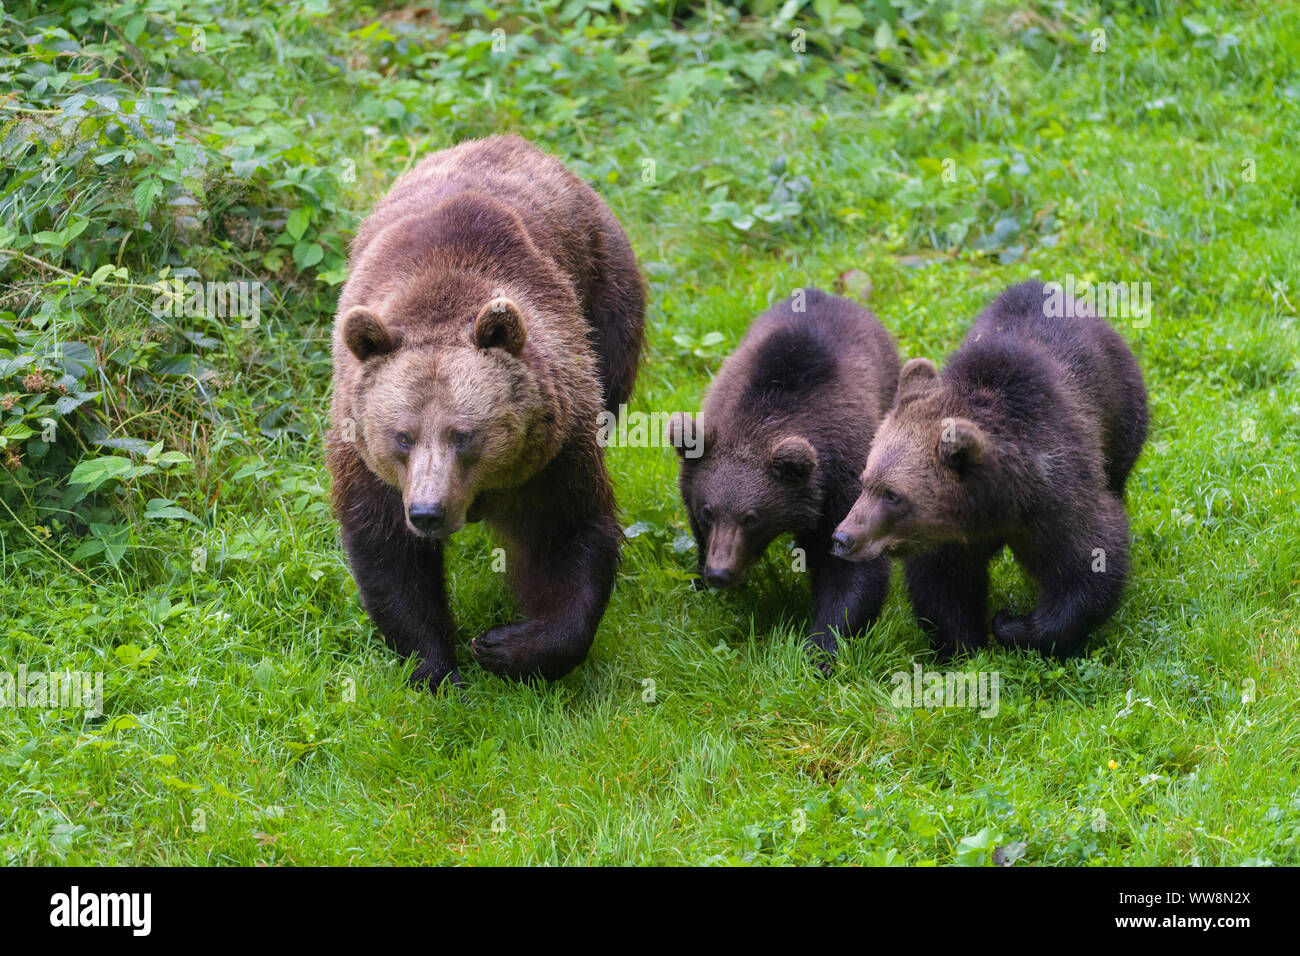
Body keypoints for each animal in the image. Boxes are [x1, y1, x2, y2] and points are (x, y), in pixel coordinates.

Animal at [328, 135, 645, 688]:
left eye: (464, 435)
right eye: (402, 436)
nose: (428, 512)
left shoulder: (552, 450)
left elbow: (566, 535)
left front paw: (503, 645)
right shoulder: (366, 455)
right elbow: (388, 552)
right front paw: (435, 668)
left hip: (608, 304)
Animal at [669, 287, 900, 665]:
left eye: (751, 517)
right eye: (708, 511)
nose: (720, 573)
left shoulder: (845, 479)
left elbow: (853, 567)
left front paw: (821, 648)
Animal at [830, 279, 1148, 658]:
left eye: (893, 495)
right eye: (864, 480)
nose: (844, 537)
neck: (998, 502)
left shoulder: (1057, 493)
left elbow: (1089, 560)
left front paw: (1012, 625)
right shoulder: (948, 535)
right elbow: (945, 584)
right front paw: (965, 644)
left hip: (1121, 415)